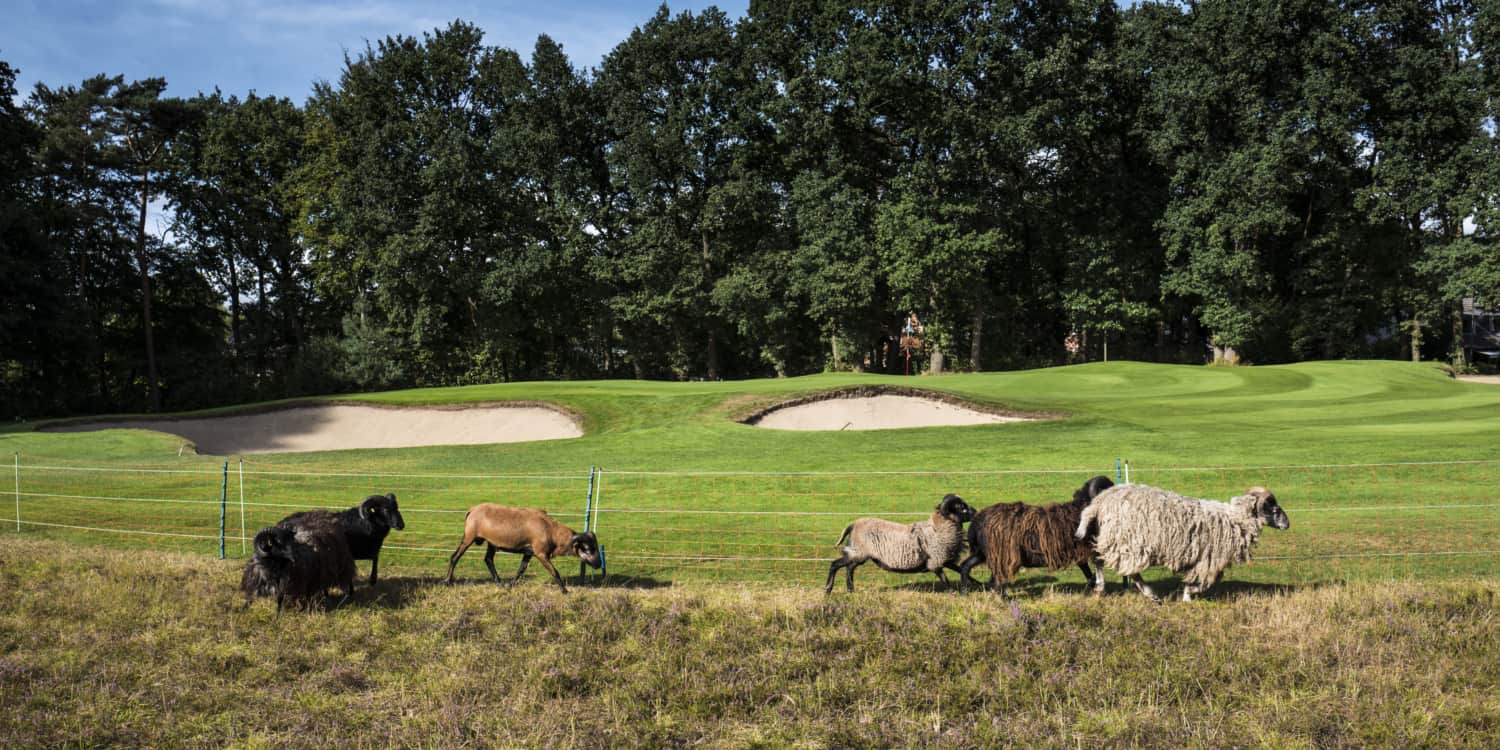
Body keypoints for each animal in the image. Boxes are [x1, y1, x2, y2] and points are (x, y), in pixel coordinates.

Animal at [444, 504, 601, 594]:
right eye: (587, 549)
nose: (599, 564)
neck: (551, 530)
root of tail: (471, 511)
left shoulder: (529, 552)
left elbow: (521, 569)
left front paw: (510, 586)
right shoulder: (541, 553)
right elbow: (554, 572)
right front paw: (564, 591)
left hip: (491, 542)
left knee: (488, 560)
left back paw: (500, 584)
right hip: (468, 537)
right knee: (455, 557)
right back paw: (447, 581)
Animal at [824, 493, 976, 594]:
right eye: (962, 508)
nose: (975, 512)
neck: (938, 529)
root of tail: (853, 524)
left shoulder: (945, 559)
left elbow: (961, 570)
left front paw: (978, 584)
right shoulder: (935, 561)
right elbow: (945, 579)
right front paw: (953, 592)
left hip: (859, 554)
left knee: (849, 568)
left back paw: (851, 590)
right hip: (858, 552)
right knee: (835, 565)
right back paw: (828, 590)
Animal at [957, 475, 1115, 596]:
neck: (1079, 510)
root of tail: (976, 522)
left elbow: (1086, 570)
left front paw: (1094, 585)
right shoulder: (1077, 549)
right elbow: (1086, 568)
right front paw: (1096, 586)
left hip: (983, 552)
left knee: (966, 566)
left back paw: (964, 592)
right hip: (998, 555)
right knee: (994, 579)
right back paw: (1003, 597)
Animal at [1075, 484, 1290, 601]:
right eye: (1273, 508)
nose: (1287, 523)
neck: (1234, 520)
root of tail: (1101, 500)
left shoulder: (1203, 560)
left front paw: (1187, 592)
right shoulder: (1209, 561)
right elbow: (1206, 584)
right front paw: (1188, 594)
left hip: (1115, 539)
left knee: (1099, 558)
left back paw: (1101, 586)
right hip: (1129, 542)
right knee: (1122, 568)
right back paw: (1148, 594)